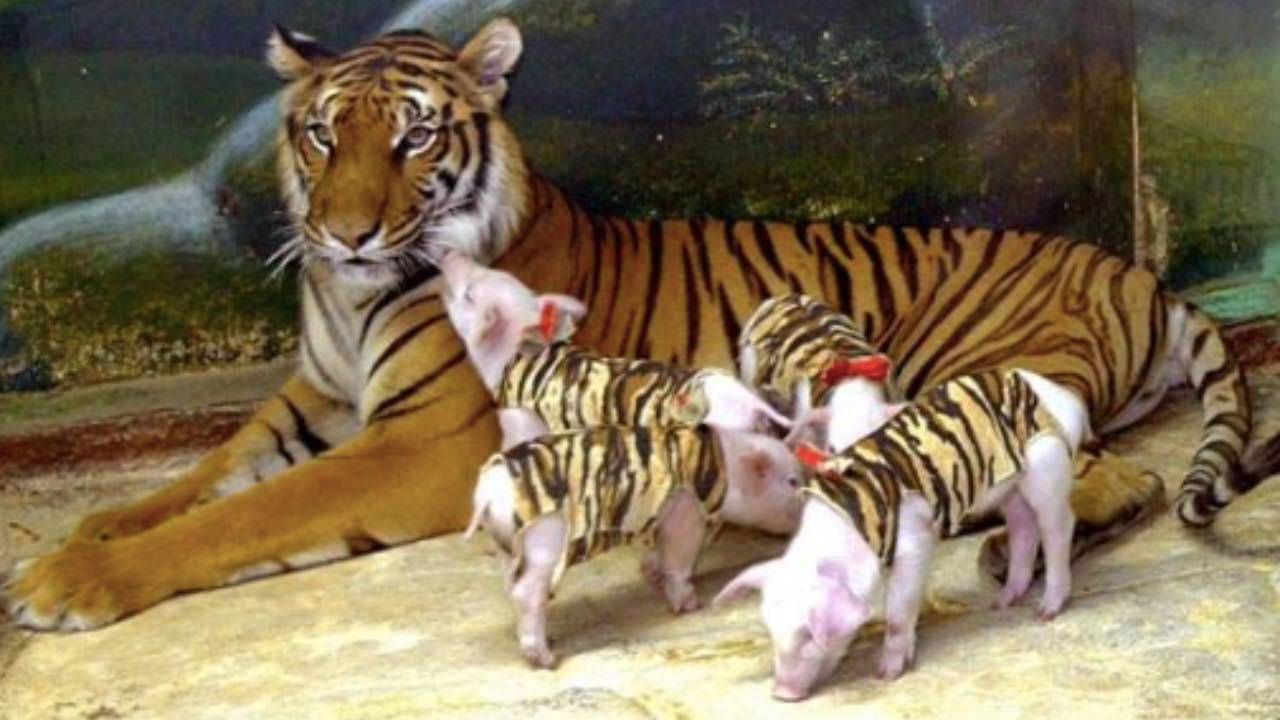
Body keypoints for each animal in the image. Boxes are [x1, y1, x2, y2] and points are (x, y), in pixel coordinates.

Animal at [6, 17, 1277, 632]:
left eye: (412, 136)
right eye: (325, 133)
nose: (345, 231)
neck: (348, 296)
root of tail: (1135, 272)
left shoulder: (420, 446)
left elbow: (245, 517)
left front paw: (69, 583)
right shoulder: (309, 401)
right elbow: (193, 480)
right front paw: (87, 531)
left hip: (952, 375)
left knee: (1106, 475)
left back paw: (998, 545)